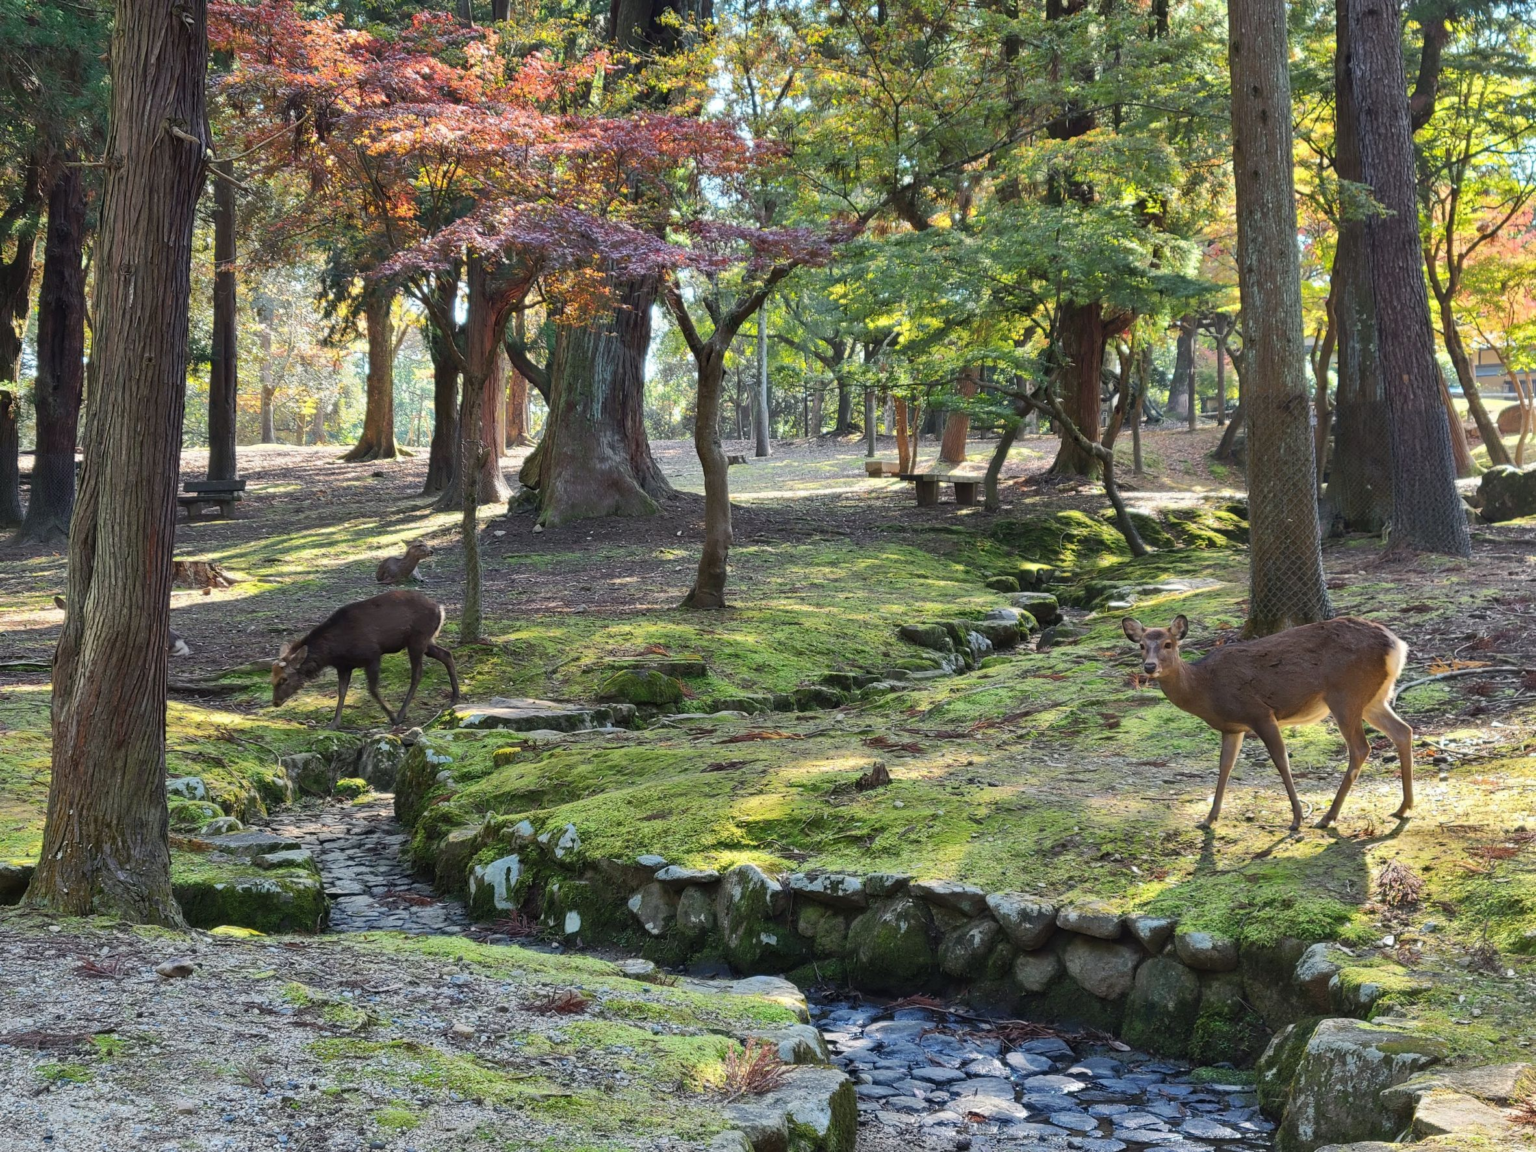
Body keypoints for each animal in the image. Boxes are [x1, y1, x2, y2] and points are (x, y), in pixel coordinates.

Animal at [272, 589, 460, 728]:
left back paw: (401, 713)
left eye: (284, 679)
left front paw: (392, 716)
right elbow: (341, 692)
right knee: (447, 654)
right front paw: (333, 723)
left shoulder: (372, 656)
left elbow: (373, 689)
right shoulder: (344, 666)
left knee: (417, 674)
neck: (333, 651)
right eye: (271, 679)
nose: (275, 702)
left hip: (417, 640)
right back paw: (454, 697)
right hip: (426, 641)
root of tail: (440, 608)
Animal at [1122, 615, 1414, 831]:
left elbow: (1281, 760)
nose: (1149, 667)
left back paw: (1328, 817)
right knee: (1403, 731)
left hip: (1346, 694)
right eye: (1141, 646)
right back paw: (1404, 806)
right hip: (1373, 699)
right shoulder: (1232, 727)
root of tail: (1397, 645)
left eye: (1168, 644)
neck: (1205, 687)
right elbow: (1225, 766)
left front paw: (1297, 818)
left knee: (1361, 747)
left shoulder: (1260, 713)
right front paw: (1208, 819)